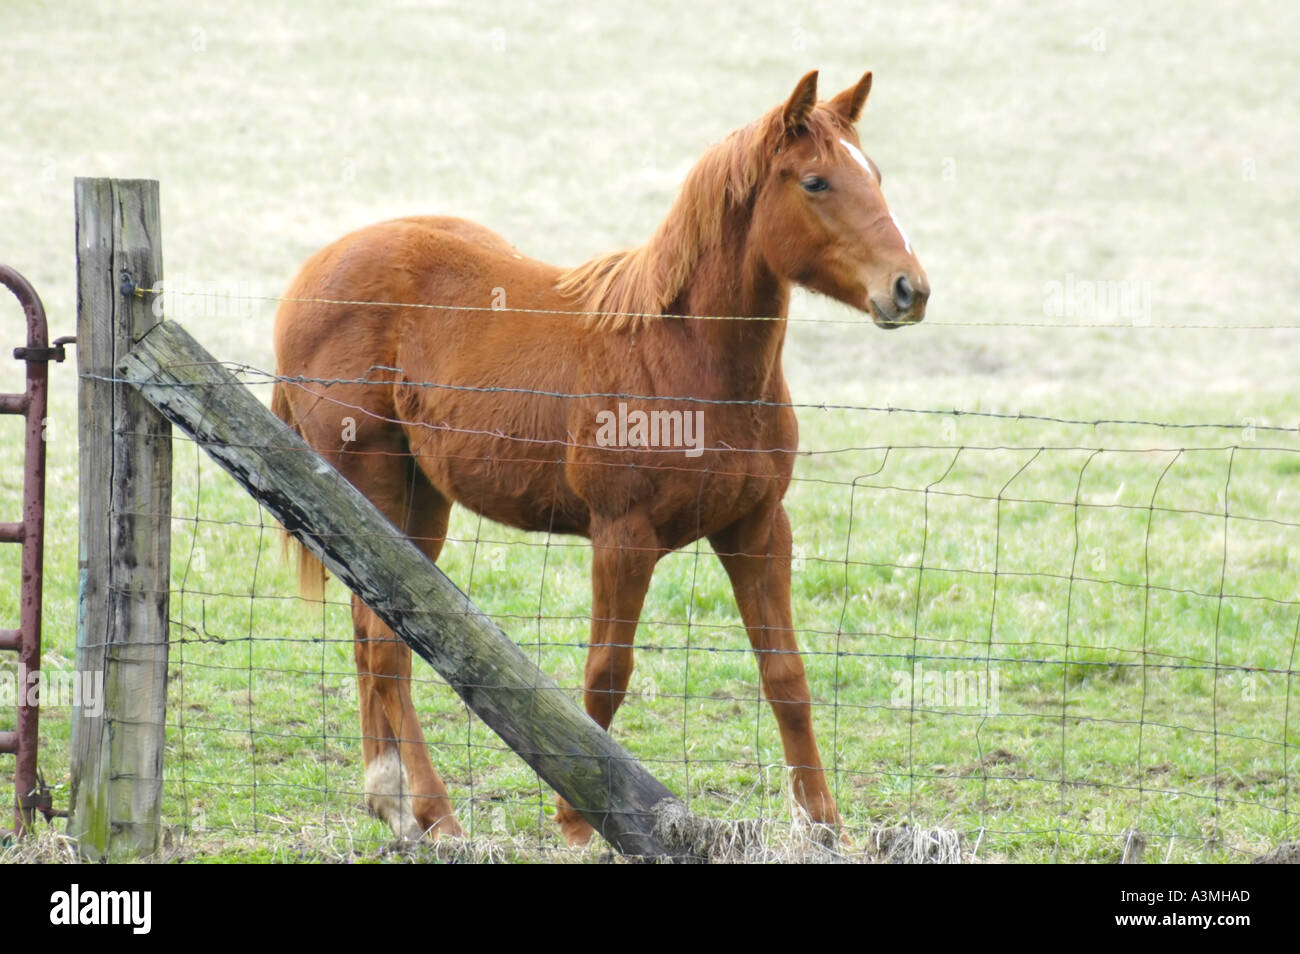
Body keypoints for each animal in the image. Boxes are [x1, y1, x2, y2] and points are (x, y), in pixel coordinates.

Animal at [271, 69, 928, 845]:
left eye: (875, 174)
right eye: (816, 182)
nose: (909, 289)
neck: (681, 357)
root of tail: (310, 275)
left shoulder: (759, 528)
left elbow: (786, 677)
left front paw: (826, 828)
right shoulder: (623, 537)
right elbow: (606, 675)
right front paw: (578, 825)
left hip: (410, 506)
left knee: (375, 636)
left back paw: (393, 803)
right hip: (370, 484)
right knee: (383, 642)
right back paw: (432, 813)